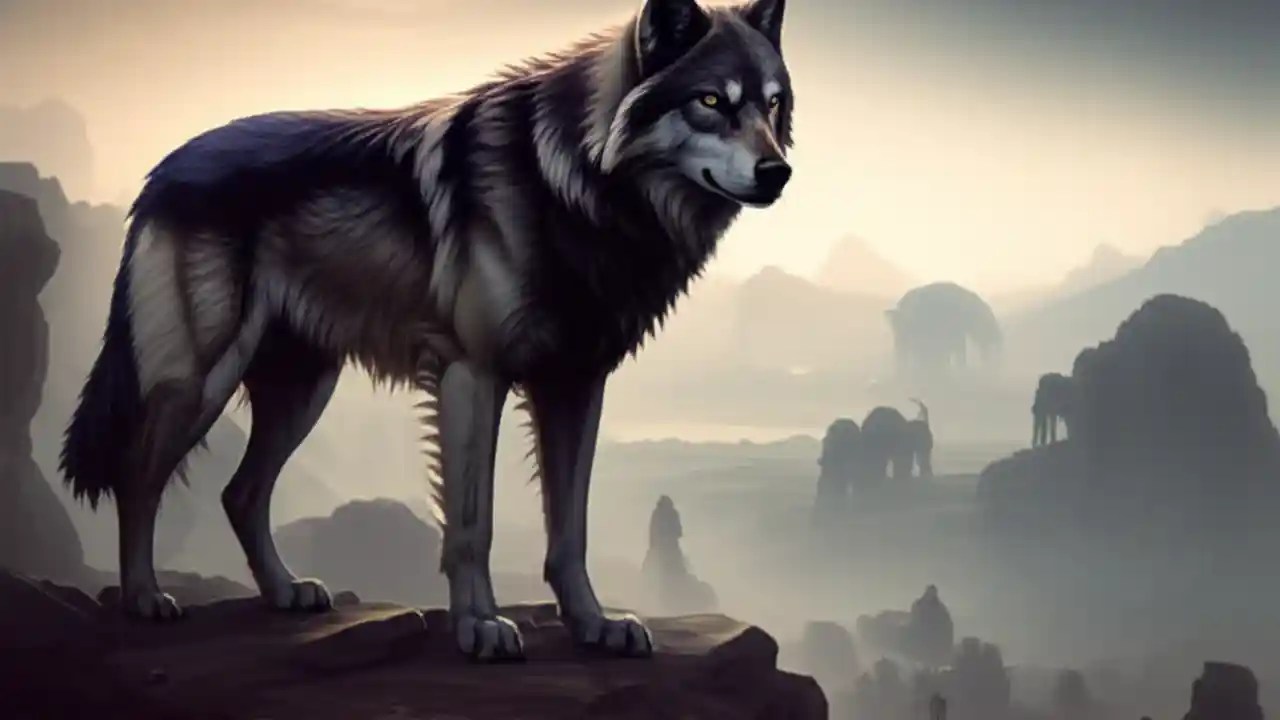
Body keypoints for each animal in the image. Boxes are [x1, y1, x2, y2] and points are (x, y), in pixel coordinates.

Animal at [61, 0, 793, 661]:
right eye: (711, 101)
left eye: (774, 106)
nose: (778, 172)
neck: (575, 187)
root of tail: (162, 170)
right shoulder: (472, 376)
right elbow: (473, 524)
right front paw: (480, 628)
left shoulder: (576, 386)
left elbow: (570, 529)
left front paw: (593, 626)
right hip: (202, 381)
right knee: (137, 477)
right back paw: (144, 600)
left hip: (303, 393)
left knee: (240, 494)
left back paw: (285, 592)